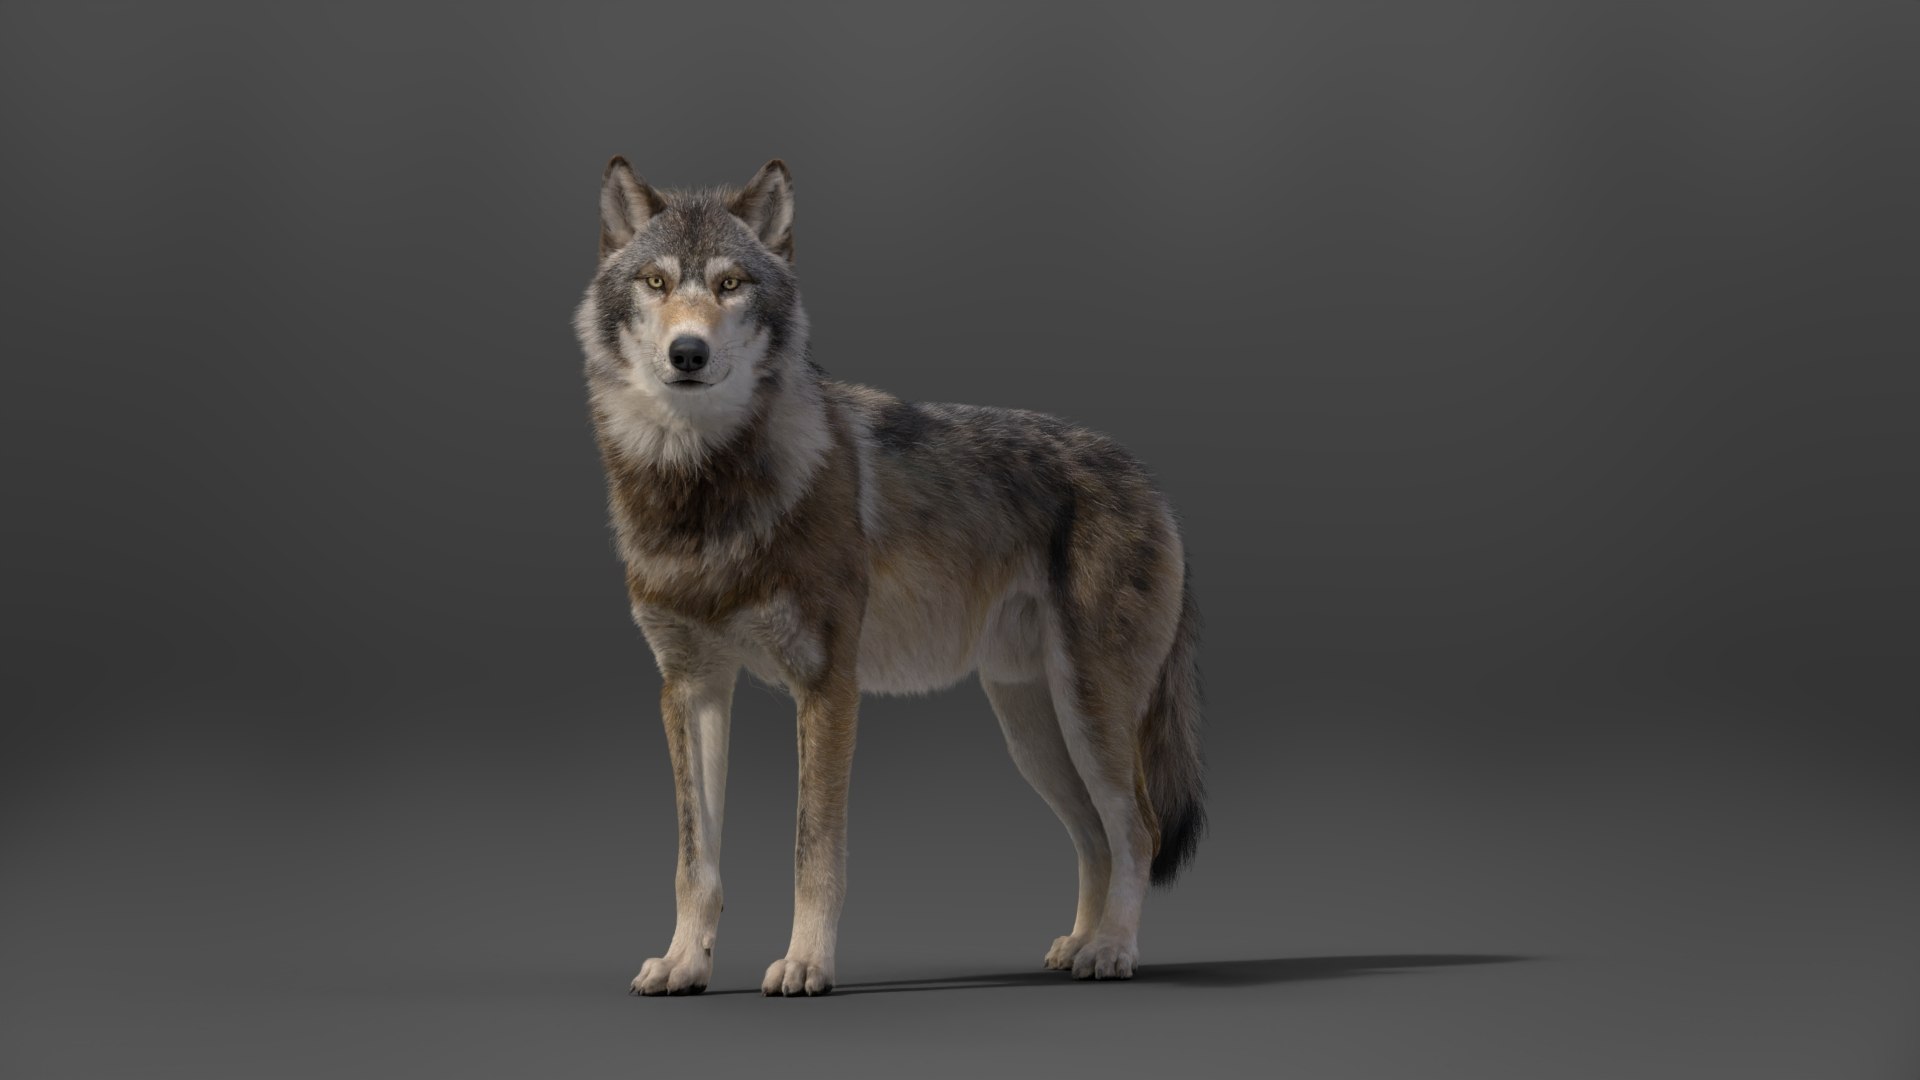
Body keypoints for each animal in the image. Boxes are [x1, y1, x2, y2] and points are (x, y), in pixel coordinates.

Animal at [575, 157, 1206, 996]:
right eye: (655, 281)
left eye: (731, 284)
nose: (688, 354)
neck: (700, 493)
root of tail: (1154, 485)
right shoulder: (691, 687)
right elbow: (694, 860)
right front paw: (684, 963)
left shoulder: (827, 686)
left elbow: (814, 850)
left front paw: (806, 963)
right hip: (1033, 728)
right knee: (1095, 837)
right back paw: (1080, 943)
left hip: (1088, 715)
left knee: (1136, 827)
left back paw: (1113, 951)